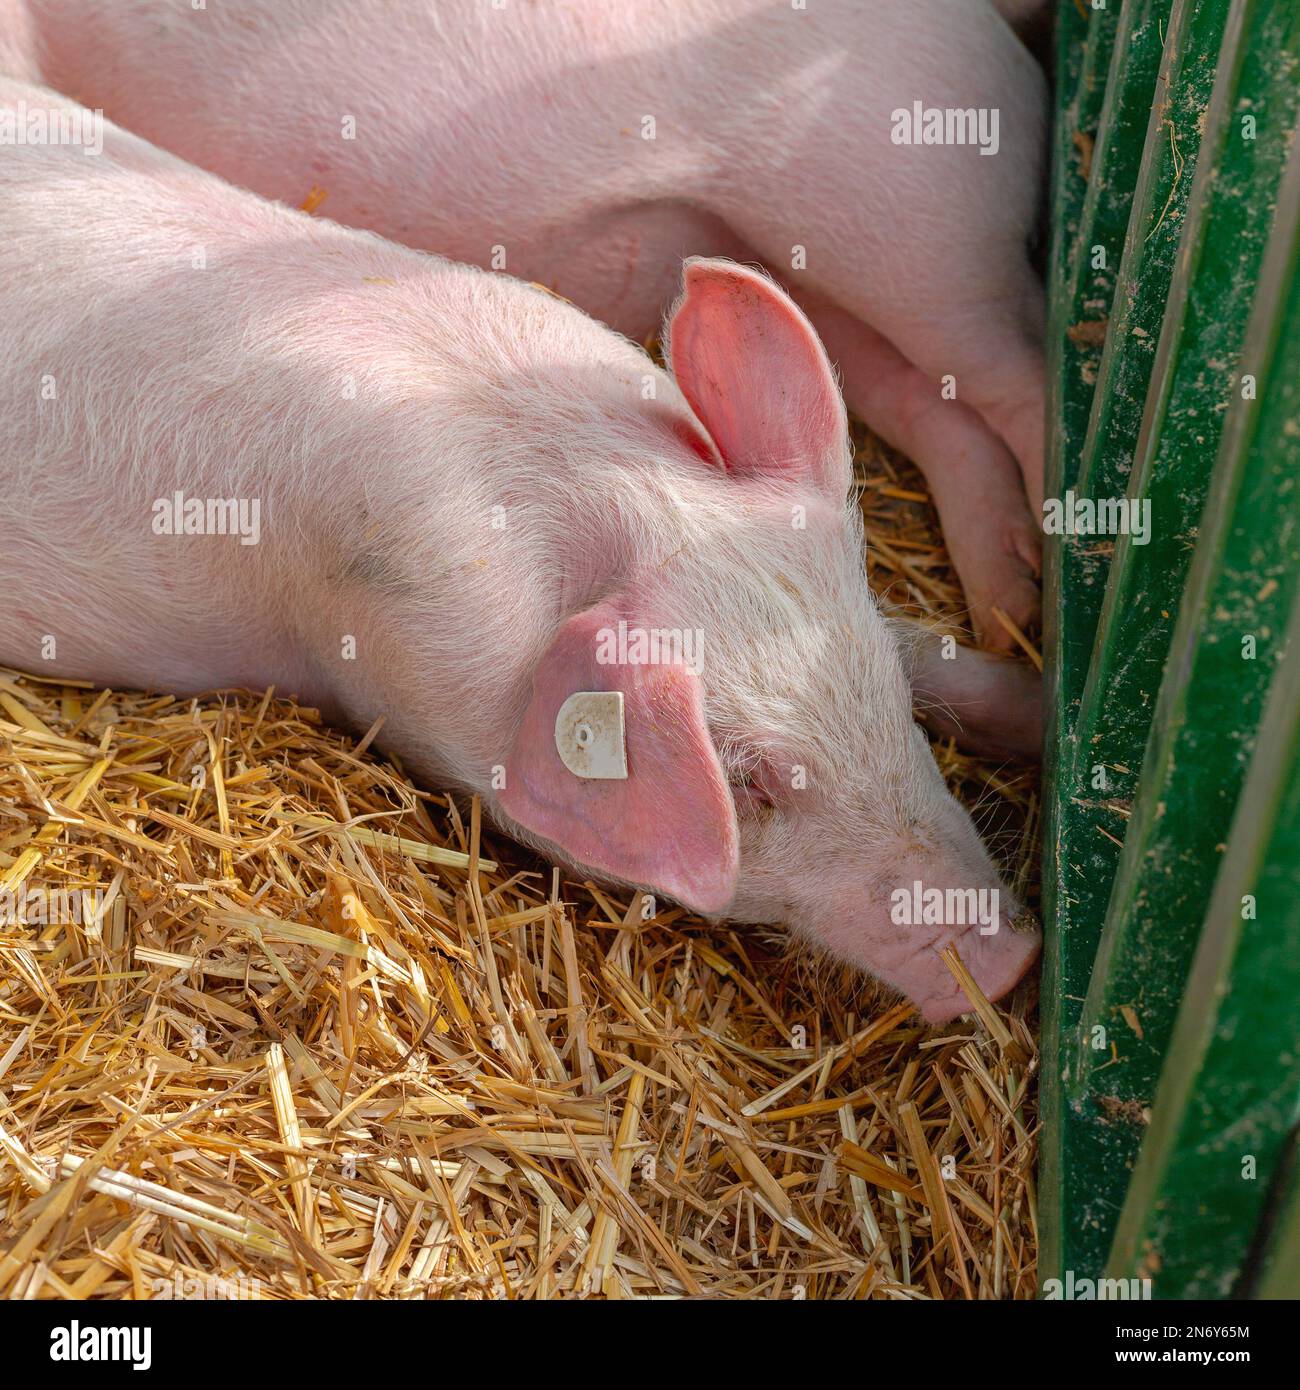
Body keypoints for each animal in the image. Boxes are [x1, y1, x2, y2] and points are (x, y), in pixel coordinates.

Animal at [3, 0, 1048, 652]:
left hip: (902, 218)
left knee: (1019, 373)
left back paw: (1050, 568)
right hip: (818, 274)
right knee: (925, 402)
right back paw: (1010, 610)